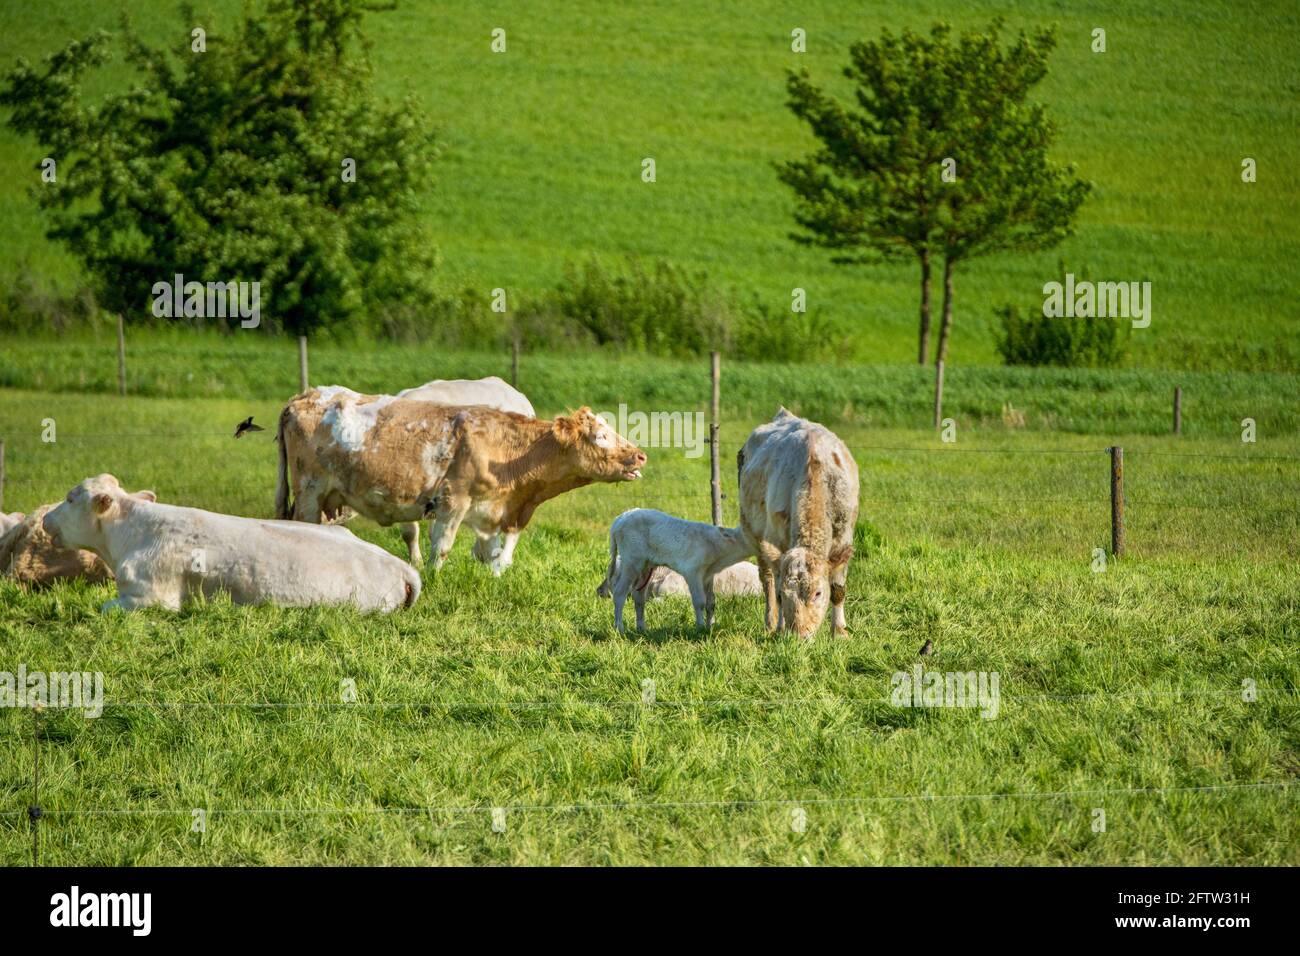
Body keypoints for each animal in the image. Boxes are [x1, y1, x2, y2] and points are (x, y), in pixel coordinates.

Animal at [276, 394, 646, 574]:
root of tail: (303, 399)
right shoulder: (453, 501)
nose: (640, 456)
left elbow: (495, 554)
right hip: (309, 492)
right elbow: (441, 546)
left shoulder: (496, 512)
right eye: (600, 436)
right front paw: (433, 577)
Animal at [738, 407, 859, 639]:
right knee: (767, 579)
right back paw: (771, 624)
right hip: (753, 533)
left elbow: (838, 589)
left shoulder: (844, 538)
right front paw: (781, 628)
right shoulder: (776, 540)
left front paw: (839, 631)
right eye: (785, 595)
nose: (800, 636)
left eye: (818, 593)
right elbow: (776, 588)